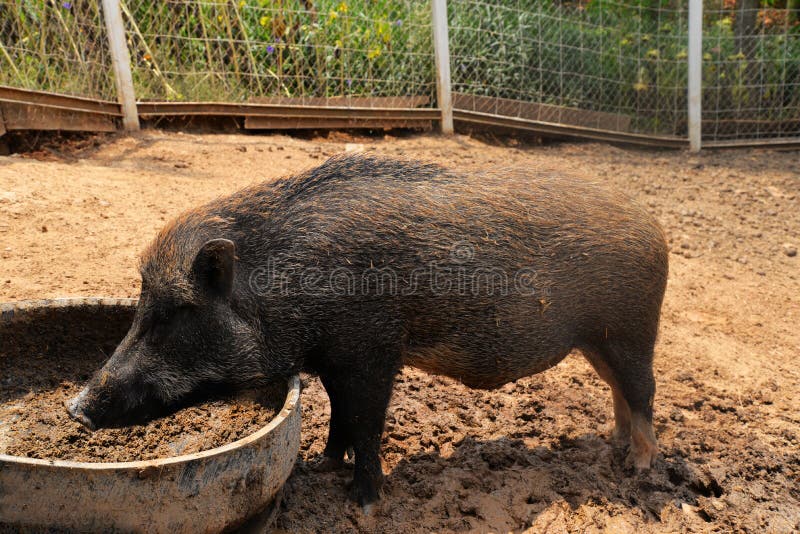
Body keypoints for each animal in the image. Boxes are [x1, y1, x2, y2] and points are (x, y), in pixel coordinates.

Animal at [68, 154, 668, 508]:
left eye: (176, 311)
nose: (75, 408)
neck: (284, 290)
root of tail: (653, 225)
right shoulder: (336, 361)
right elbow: (339, 417)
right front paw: (321, 465)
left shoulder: (373, 353)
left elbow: (366, 424)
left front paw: (362, 500)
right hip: (598, 340)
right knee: (618, 391)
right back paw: (612, 449)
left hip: (631, 330)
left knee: (643, 392)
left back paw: (638, 469)